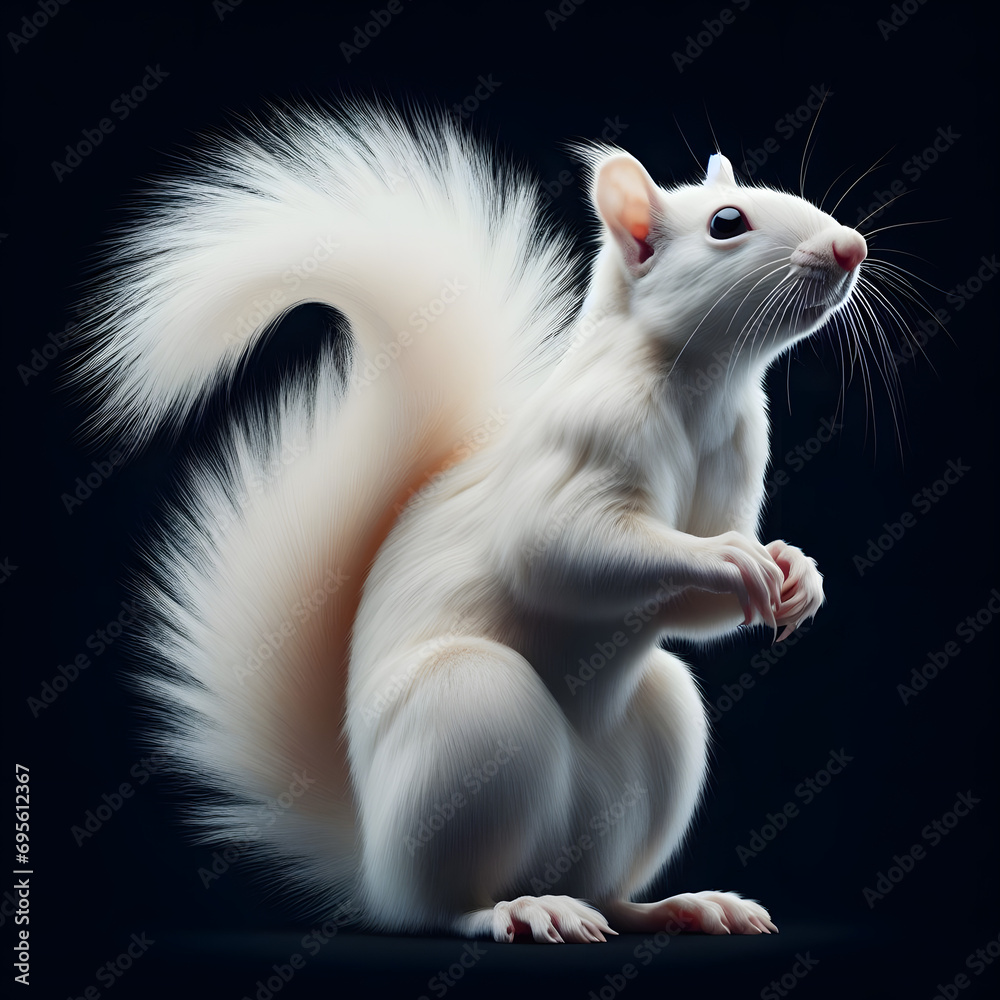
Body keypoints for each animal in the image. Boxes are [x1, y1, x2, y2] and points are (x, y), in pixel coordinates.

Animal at [74, 99, 869, 942]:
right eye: (727, 222)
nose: (850, 245)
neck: (703, 387)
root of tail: (376, 869)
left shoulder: (739, 454)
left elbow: (698, 611)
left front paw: (794, 569)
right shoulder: (584, 443)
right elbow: (563, 550)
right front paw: (731, 560)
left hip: (656, 733)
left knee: (604, 888)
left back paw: (678, 905)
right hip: (471, 714)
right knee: (450, 904)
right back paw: (519, 908)